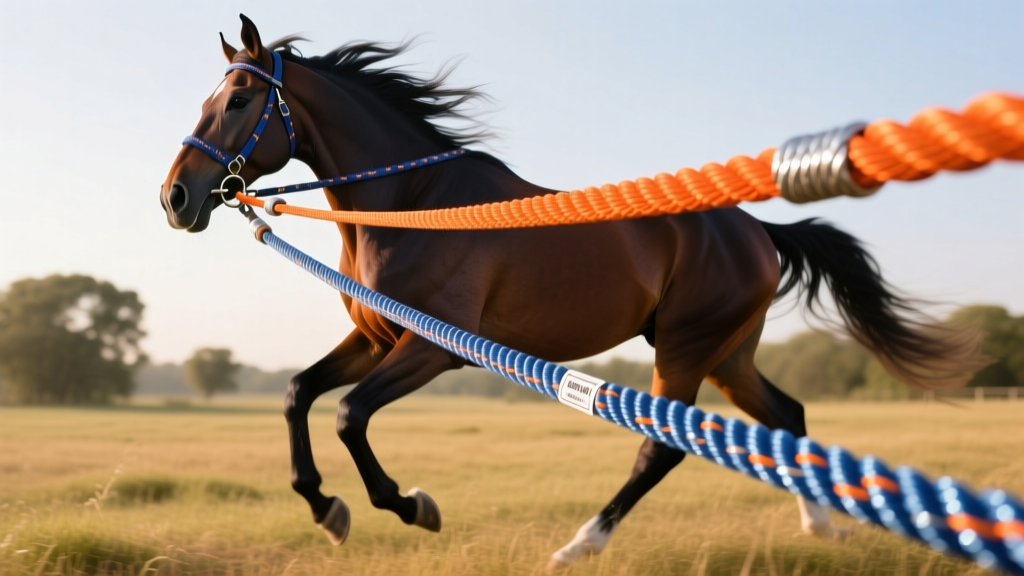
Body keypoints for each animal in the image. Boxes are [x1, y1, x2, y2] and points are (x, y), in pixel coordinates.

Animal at [159, 14, 984, 569]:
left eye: (239, 101)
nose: (176, 198)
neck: (414, 203)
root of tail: (756, 229)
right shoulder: (373, 337)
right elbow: (299, 393)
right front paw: (326, 508)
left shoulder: (434, 347)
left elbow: (347, 415)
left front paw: (411, 506)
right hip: (728, 352)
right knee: (787, 416)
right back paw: (820, 527)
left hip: (687, 347)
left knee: (663, 447)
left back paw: (578, 546)